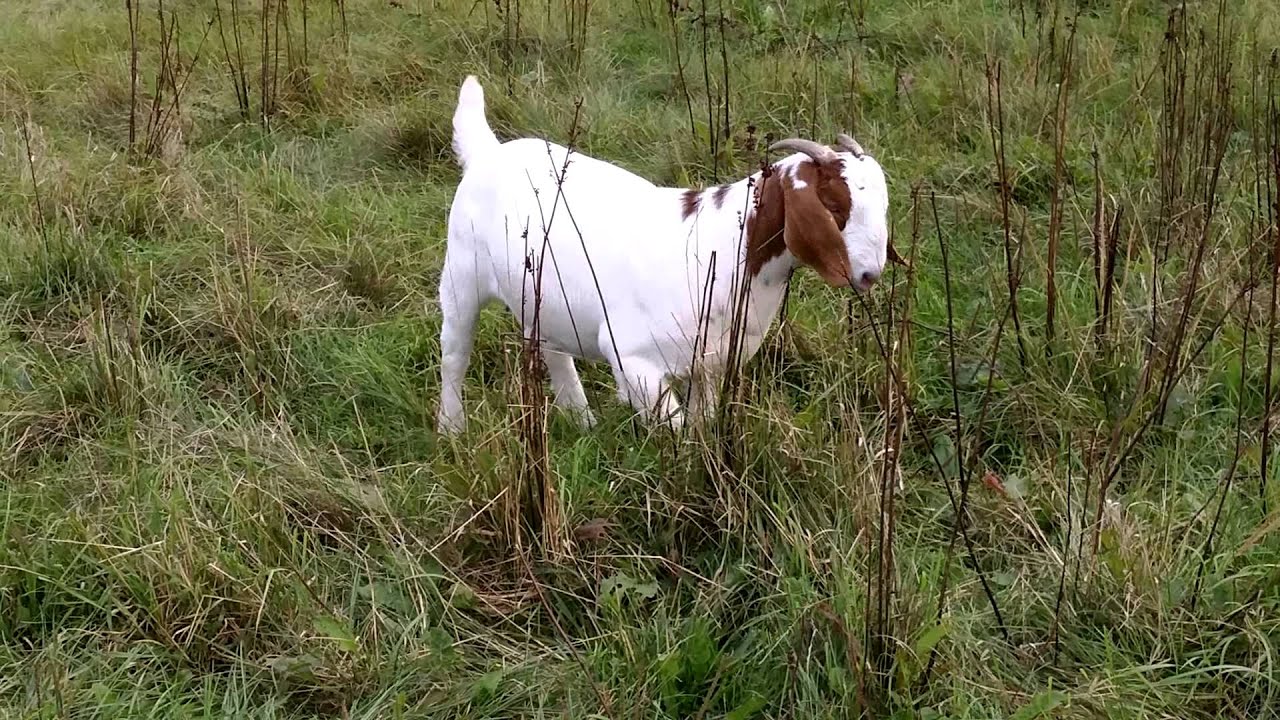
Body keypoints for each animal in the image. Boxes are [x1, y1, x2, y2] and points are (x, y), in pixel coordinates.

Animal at [437, 75, 892, 434]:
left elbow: (699, 424)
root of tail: (488, 153)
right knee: (455, 354)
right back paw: (452, 431)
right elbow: (674, 427)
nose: (871, 273)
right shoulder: (633, 358)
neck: (725, 248)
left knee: (551, 347)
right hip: (460, 277)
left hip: (542, 294)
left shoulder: (710, 363)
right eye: (834, 207)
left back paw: (582, 420)